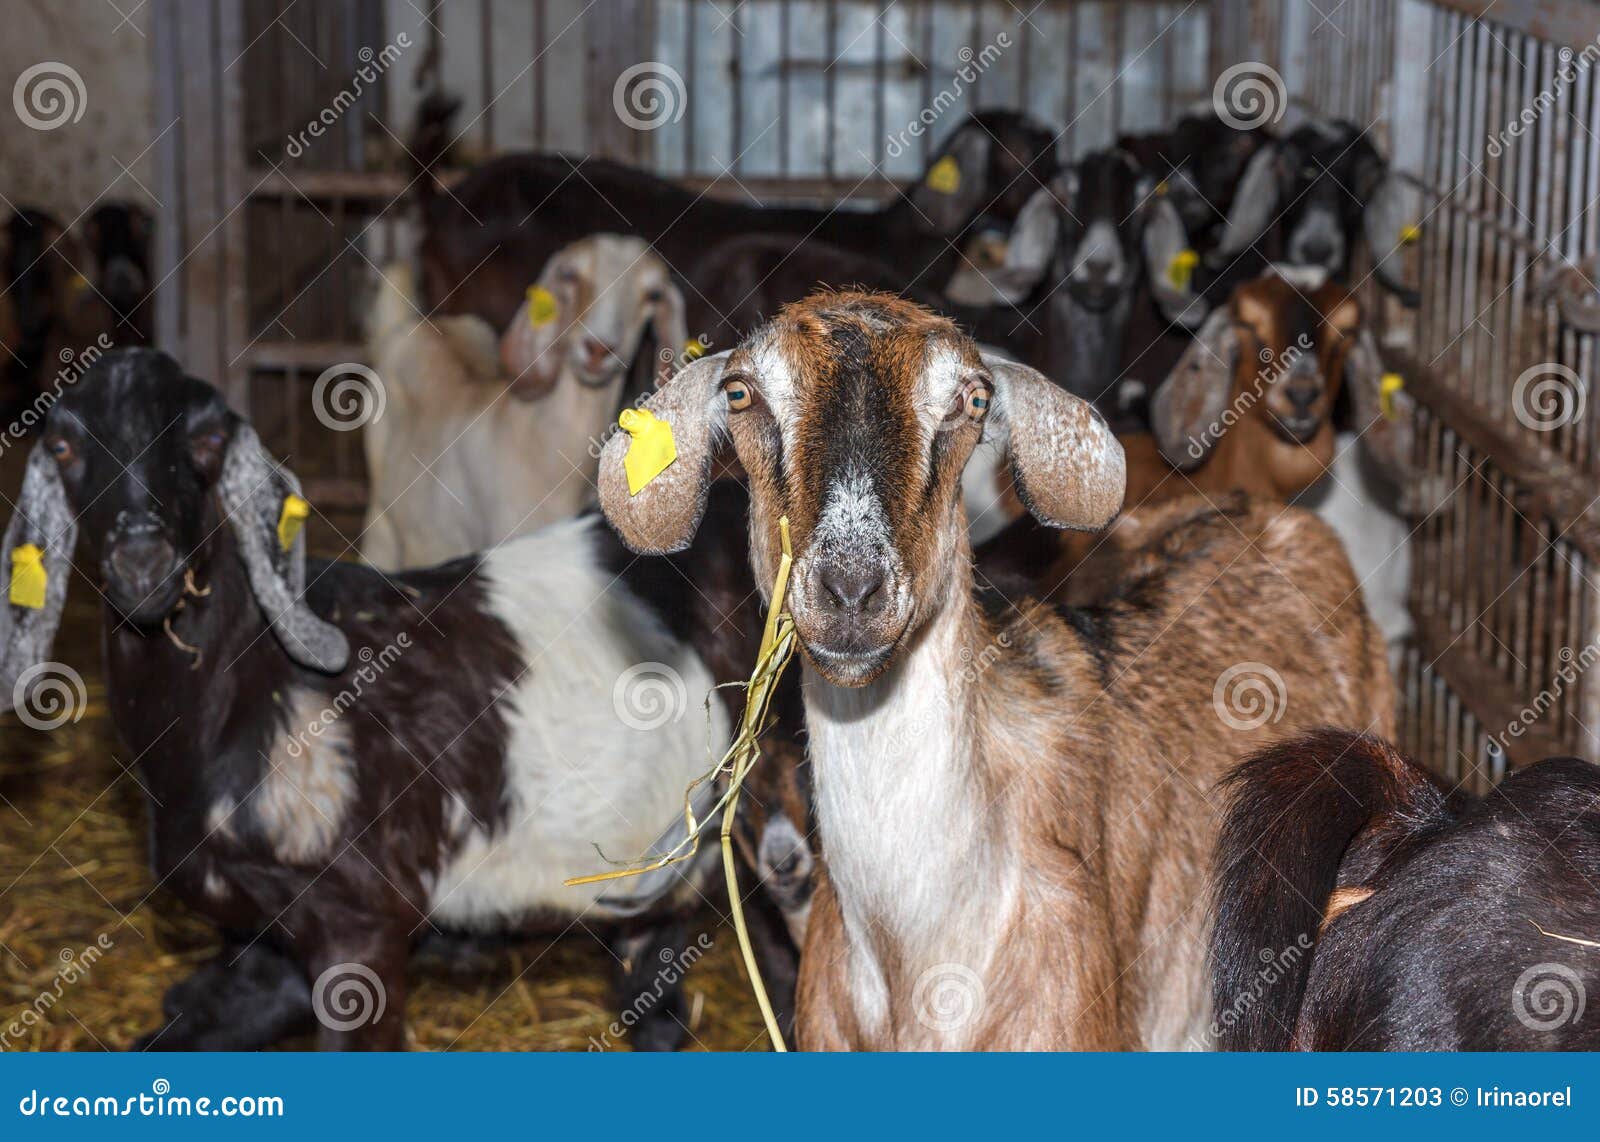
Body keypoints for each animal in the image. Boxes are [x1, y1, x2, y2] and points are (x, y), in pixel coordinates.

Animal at [0, 348, 799, 1050]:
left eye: (205, 441)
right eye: (64, 447)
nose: (143, 565)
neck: (252, 686)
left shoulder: (362, 924)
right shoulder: (263, 946)